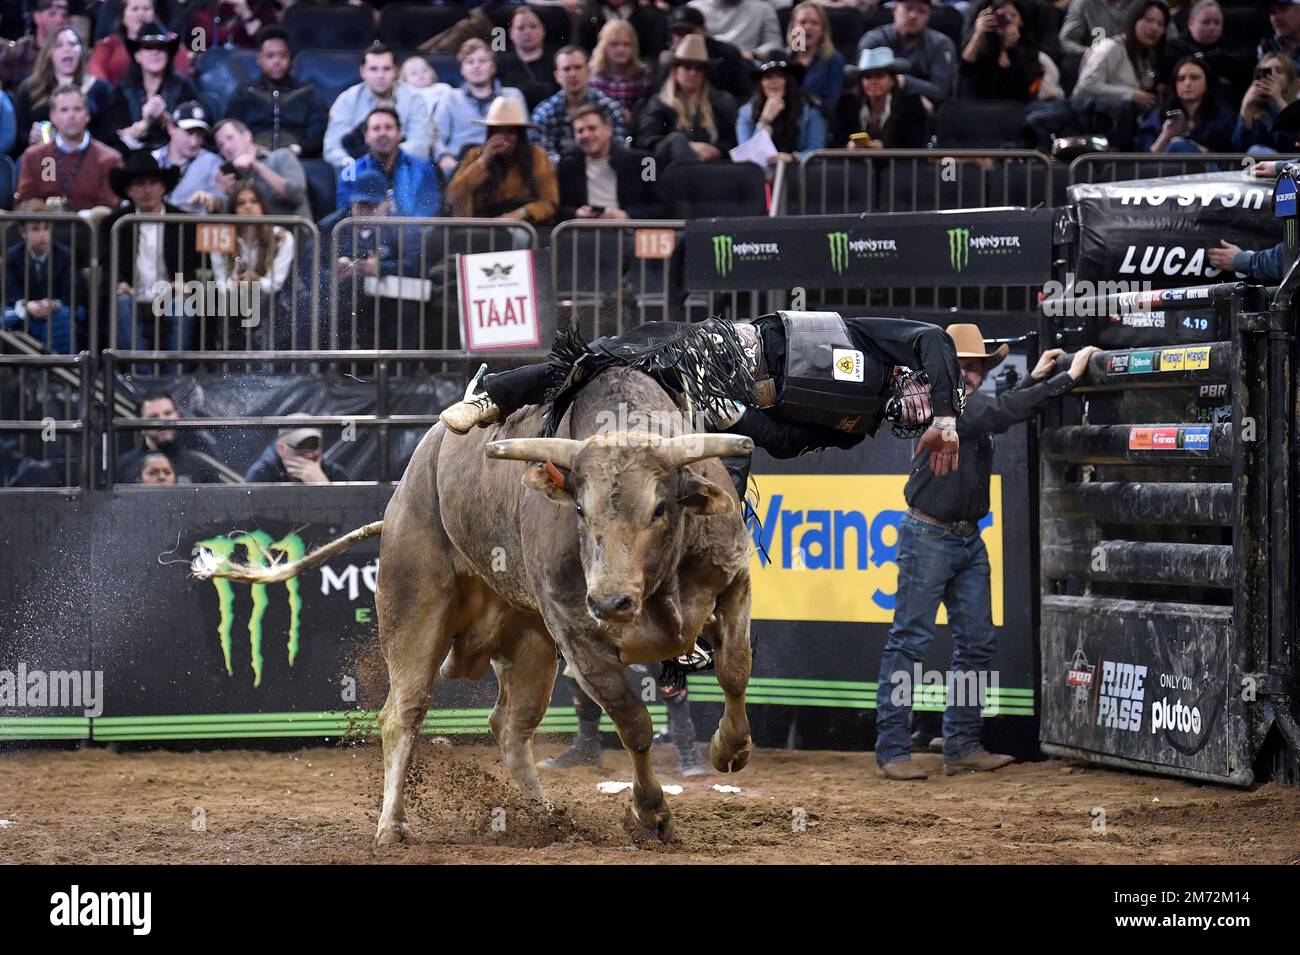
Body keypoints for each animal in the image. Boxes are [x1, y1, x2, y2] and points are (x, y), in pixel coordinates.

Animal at [195, 365, 755, 845]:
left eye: (660, 508)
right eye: (579, 508)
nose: (610, 600)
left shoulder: (734, 580)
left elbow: (734, 669)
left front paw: (730, 748)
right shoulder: (578, 635)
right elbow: (633, 721)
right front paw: (652, 812)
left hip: (530, 642)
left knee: (511, 727)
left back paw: (546, 816)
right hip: (413, 602)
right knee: (403, 713)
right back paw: (392, 826)